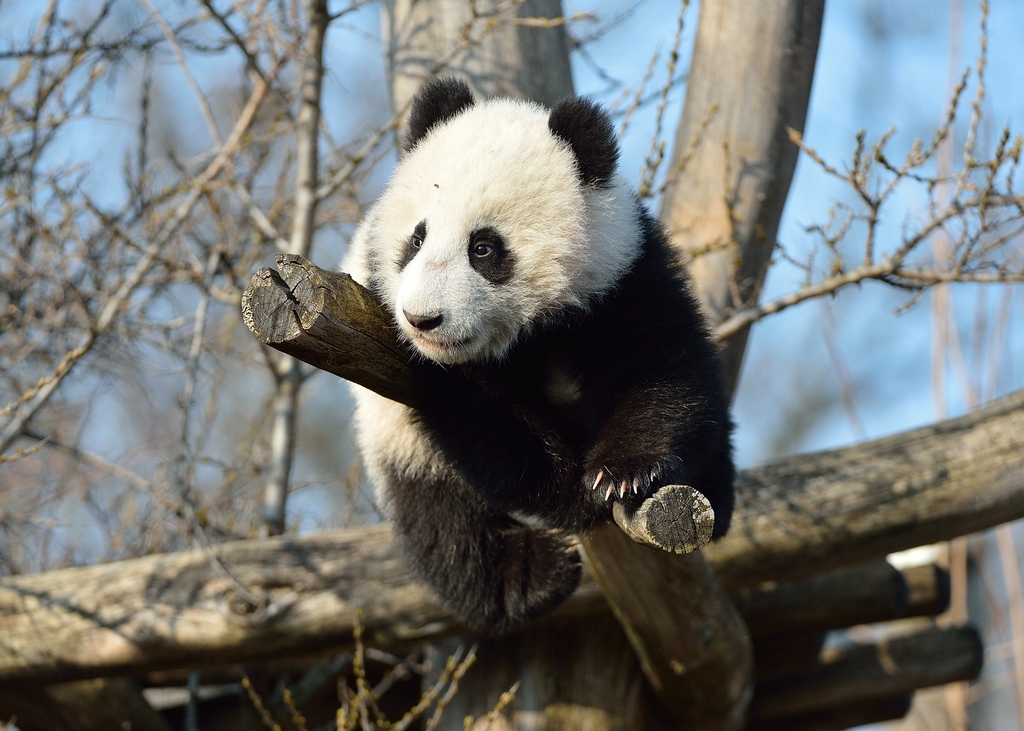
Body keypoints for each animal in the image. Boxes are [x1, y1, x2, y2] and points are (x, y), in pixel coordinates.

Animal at [342, 76, 734, 635]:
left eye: (483, 248)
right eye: (415, 240)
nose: (422, 319)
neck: (529, 334)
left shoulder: (623, 278)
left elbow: (661, 368)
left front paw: (623, 472)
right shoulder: (428, 375)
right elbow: (493, 433)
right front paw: (575, 495)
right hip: (394, 437)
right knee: (441, 517)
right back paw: (530, 574)